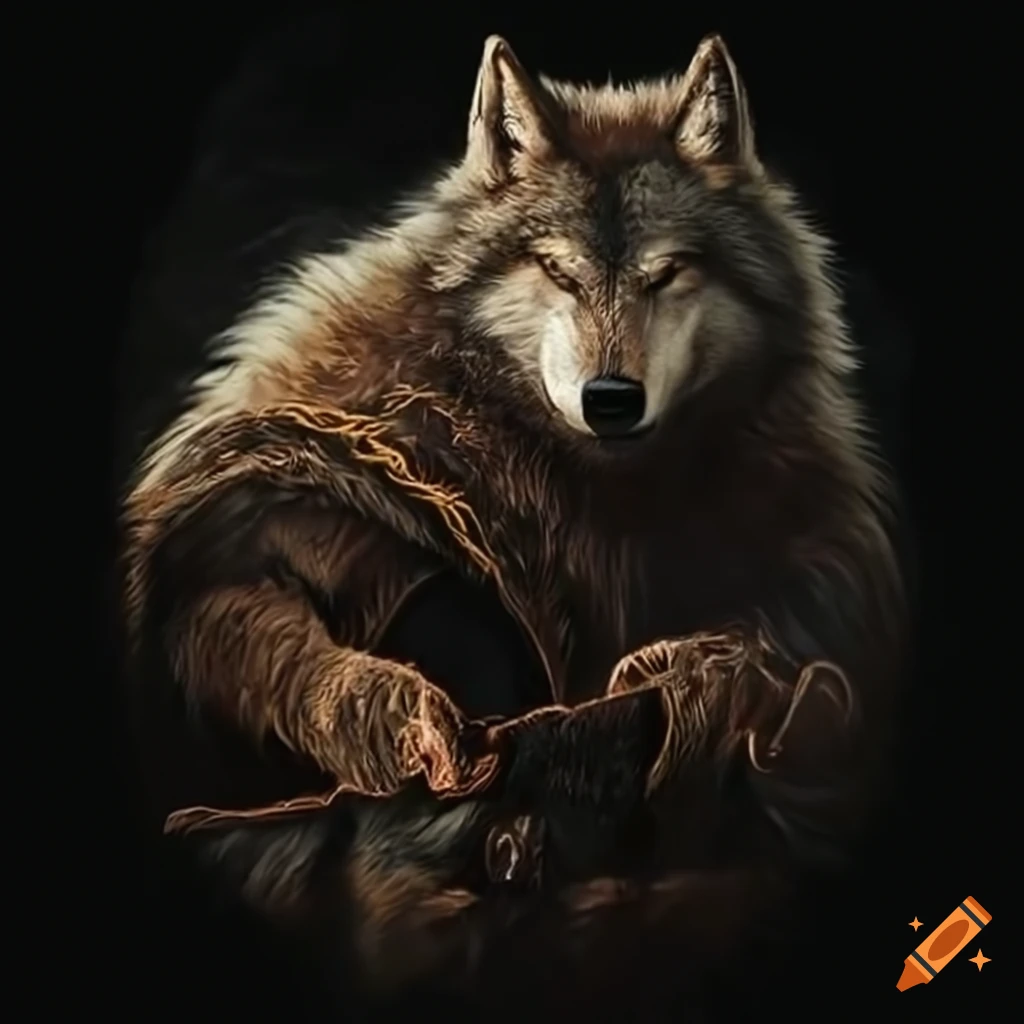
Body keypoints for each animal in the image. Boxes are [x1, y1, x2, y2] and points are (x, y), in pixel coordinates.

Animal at [118, 31, 908, 1018]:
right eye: (558, 270)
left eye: (667, 273)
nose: (611, 399)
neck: (593, 485)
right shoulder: (285, 465)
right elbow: (238, 596)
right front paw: (388, 714)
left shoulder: (816, 549)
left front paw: (702, 679)